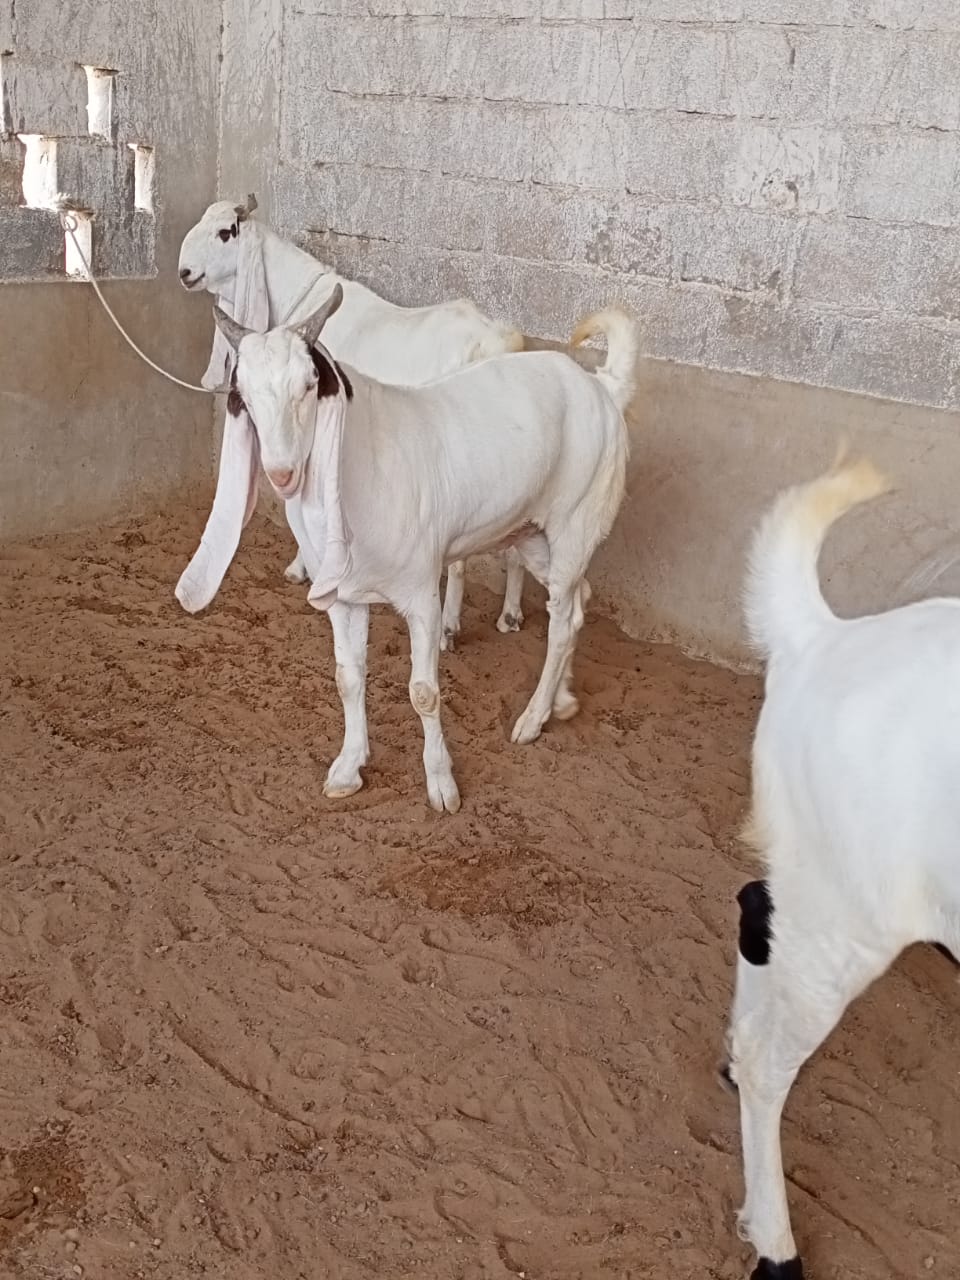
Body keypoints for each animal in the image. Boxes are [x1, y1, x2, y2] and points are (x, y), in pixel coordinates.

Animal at [175, 284, 635, 814]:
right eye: (243, 396)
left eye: (310, 384)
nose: (282, 472)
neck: (363, 459)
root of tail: (602, 386)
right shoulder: (344, 597)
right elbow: (347, 677)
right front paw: (348, 768)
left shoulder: (420, 594)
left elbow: (423, 692)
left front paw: (442, 786)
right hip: (534, 534)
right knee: (577, 604)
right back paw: (562, 700)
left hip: (575, 520)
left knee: (561, 623)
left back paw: (532, 719)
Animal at [178, 196, 527, 650]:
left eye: (225, 232)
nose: (184, 272)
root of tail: (499, 343)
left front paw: (303, 568)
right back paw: (511, 614)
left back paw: (449, 628)